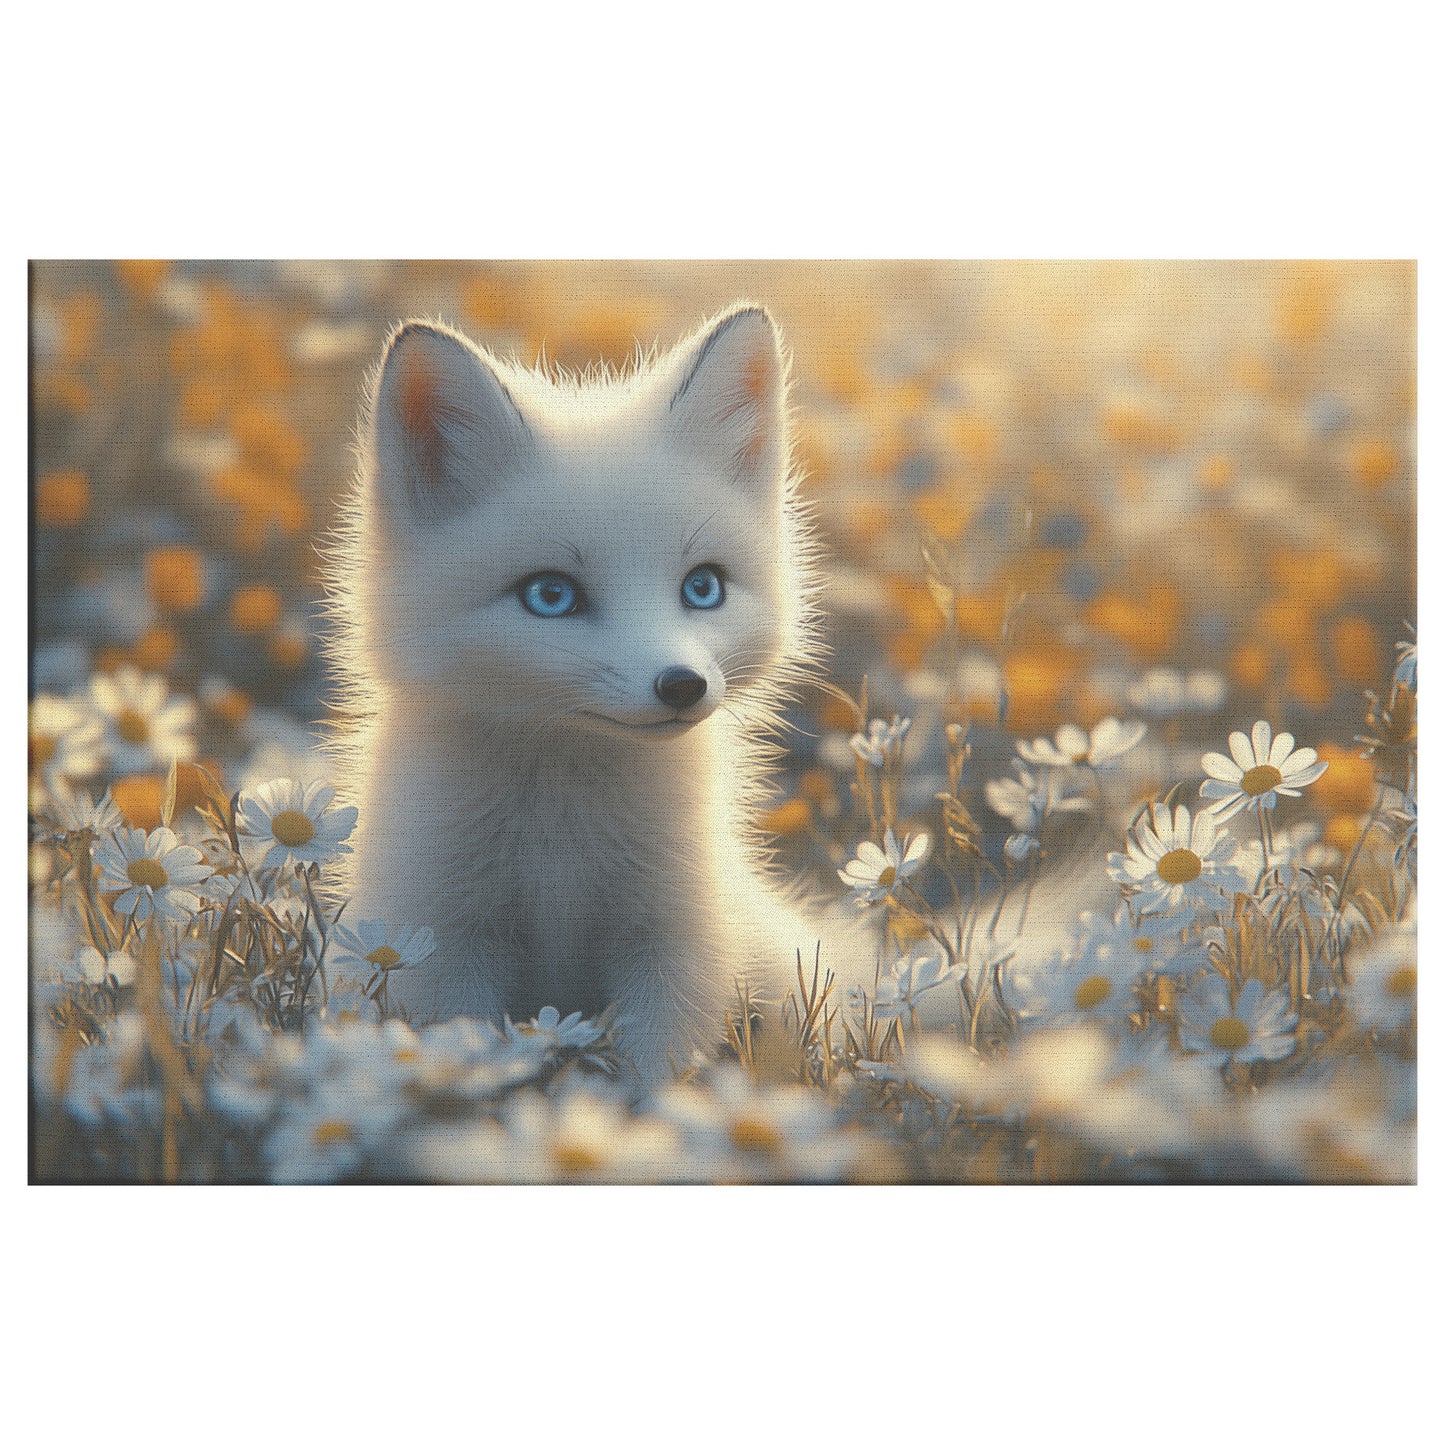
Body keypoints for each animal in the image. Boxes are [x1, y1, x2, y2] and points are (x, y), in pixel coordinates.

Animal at [325, 303, 849, 1079]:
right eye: (551, 595)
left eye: (703, 587)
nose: (683, 685)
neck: (561, 844)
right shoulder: (442, 947)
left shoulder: (674, 947)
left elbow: (657, 1080)